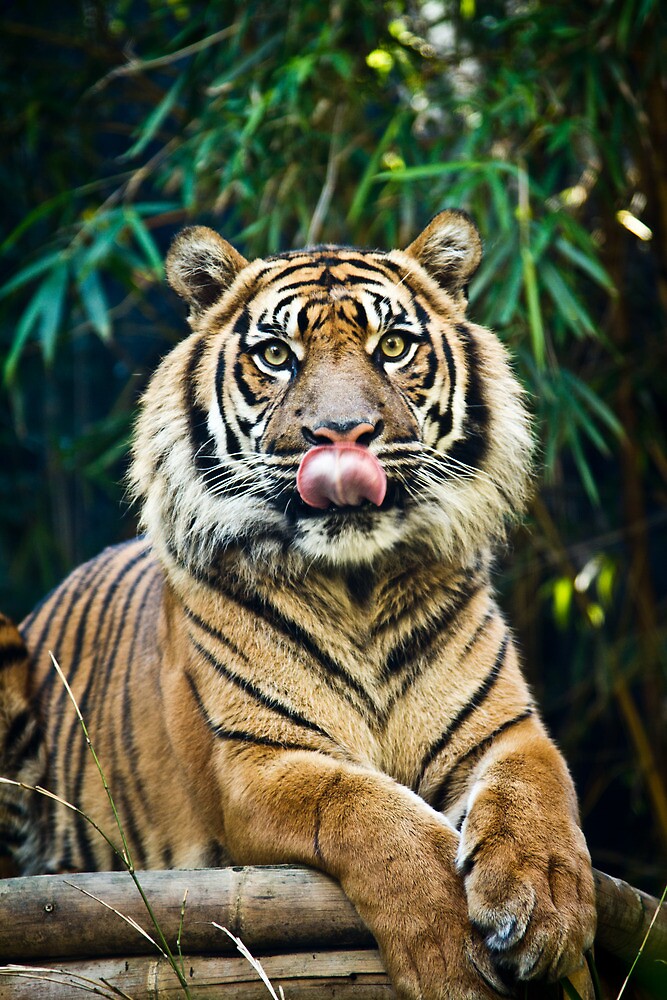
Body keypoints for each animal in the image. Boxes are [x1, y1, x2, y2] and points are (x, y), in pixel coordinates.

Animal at [0, 211, 596, 999]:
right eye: (278, 355)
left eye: (393, 346)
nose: (341, 435)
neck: (359, 587)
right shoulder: (257, 761)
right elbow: (368, 811)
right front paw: (456, 958)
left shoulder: (504, 729)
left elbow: (540, 792)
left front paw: (546, 906)